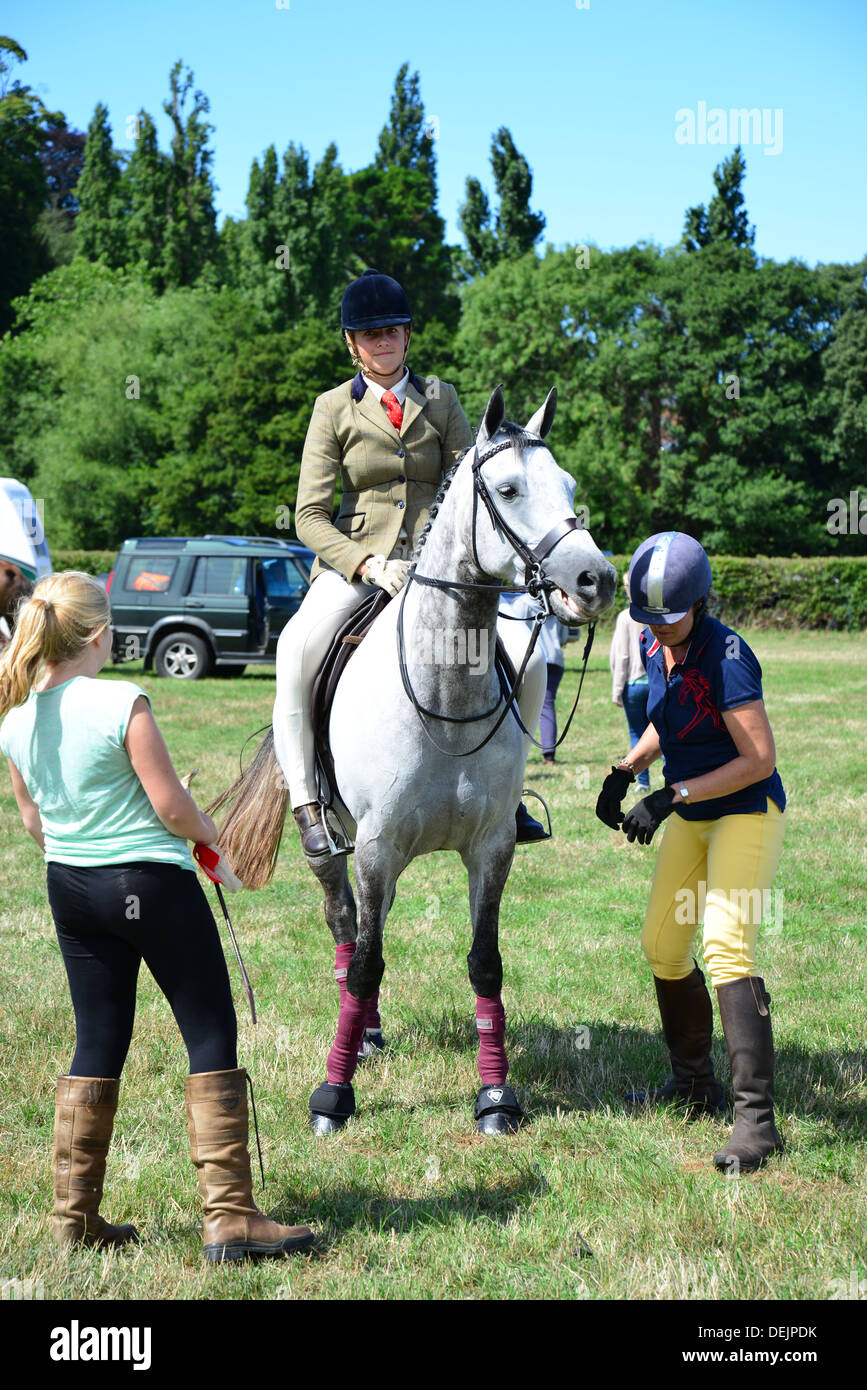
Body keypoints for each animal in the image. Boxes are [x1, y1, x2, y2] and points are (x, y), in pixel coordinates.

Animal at [214, 386, 617, 1135]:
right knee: (345, 921)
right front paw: (333, 1096)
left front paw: (495, 1097)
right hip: (336, 837)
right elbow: (366, 961)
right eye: (509, 489)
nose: (595, 580)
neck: (442, 690)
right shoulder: (374, 845)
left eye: (571, 486)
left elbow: (485, 963)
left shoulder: (490, 847)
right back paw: (360, 1034)